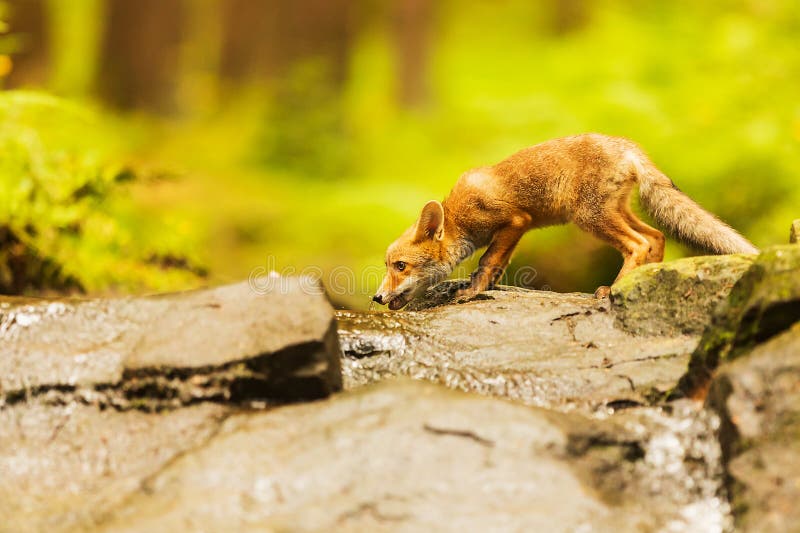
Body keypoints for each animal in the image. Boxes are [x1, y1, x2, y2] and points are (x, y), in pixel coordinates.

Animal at [372, 133, 758, 310]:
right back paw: (645, 280)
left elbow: (487, 261)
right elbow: (497, 265)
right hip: (615, 212)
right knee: (656, 236)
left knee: (639, 244)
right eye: (389, 265)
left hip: (590, 217)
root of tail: (627, 146)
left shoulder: (515, 220)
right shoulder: (518, 228)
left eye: (401, 266)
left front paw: (472, 291)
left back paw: (612, 290)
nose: (376, 297)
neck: (457, 216)